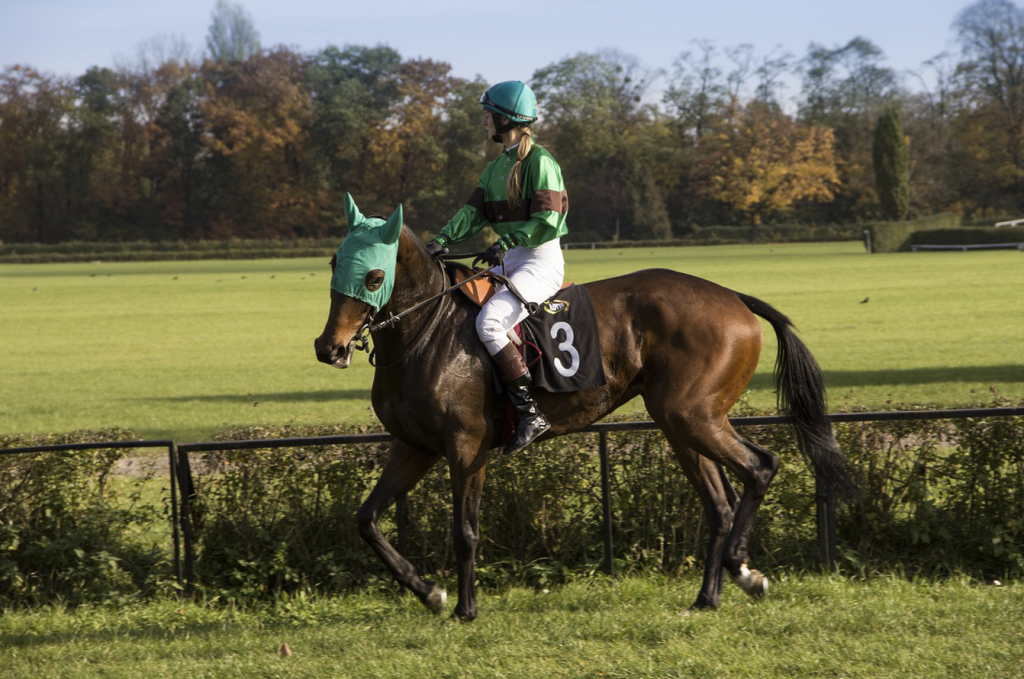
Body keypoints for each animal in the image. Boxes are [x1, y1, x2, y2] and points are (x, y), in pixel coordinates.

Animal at [314, 194, 854, 621]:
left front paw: (465, 608)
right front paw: (430, 592)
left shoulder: (465, 448)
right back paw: (708, 597)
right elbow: (367, 520)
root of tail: (735, 298)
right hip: (679, 424)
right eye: (335, 263)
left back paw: (743, 569)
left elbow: (465, 530)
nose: (328, 347)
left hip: (694, 417)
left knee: (761, 466)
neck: (426, 331)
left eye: (374, 276)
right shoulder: (414, 447)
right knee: (718, 503)